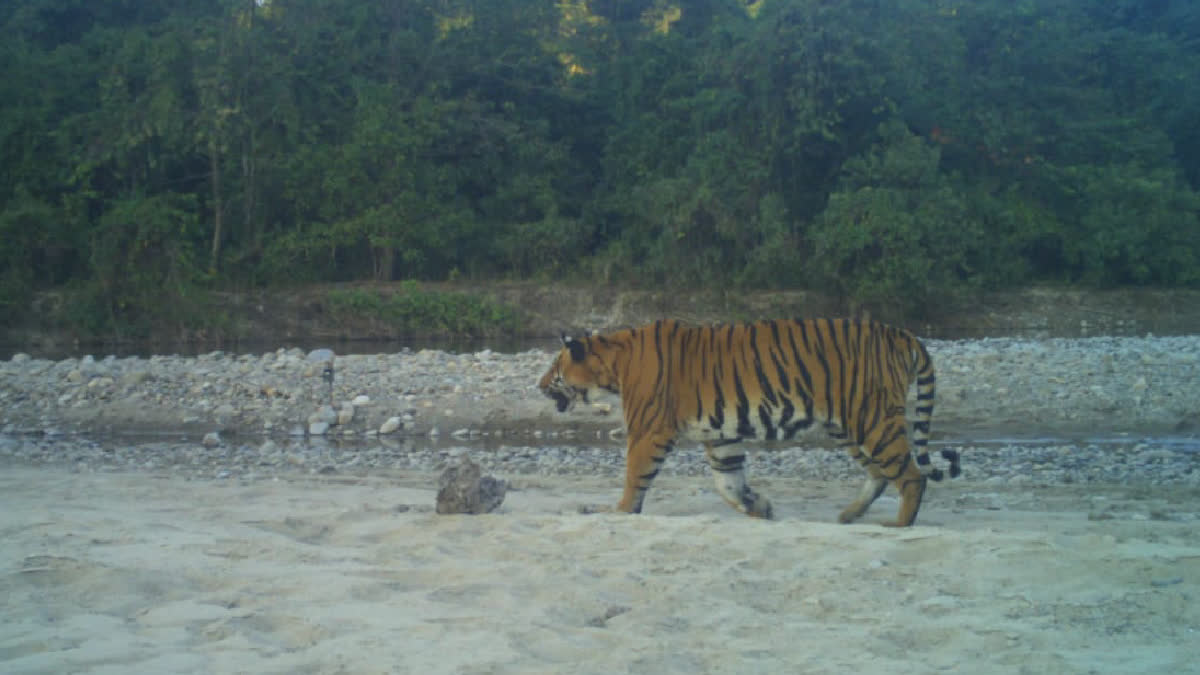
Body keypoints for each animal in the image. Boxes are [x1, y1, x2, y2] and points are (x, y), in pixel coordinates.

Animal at [537, 318, 961, 527]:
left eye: (554, 369)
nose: (538, 385)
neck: (614, 363)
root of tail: (902, 334)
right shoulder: (720, 434)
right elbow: (729, 484)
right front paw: (763, 508)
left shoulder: (648, 430)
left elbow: (634, 476)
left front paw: (621, 511)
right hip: (848, 426)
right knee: (879, 473)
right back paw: (848, 516)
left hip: (871, 418)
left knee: (911, 476)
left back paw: (898, 525)